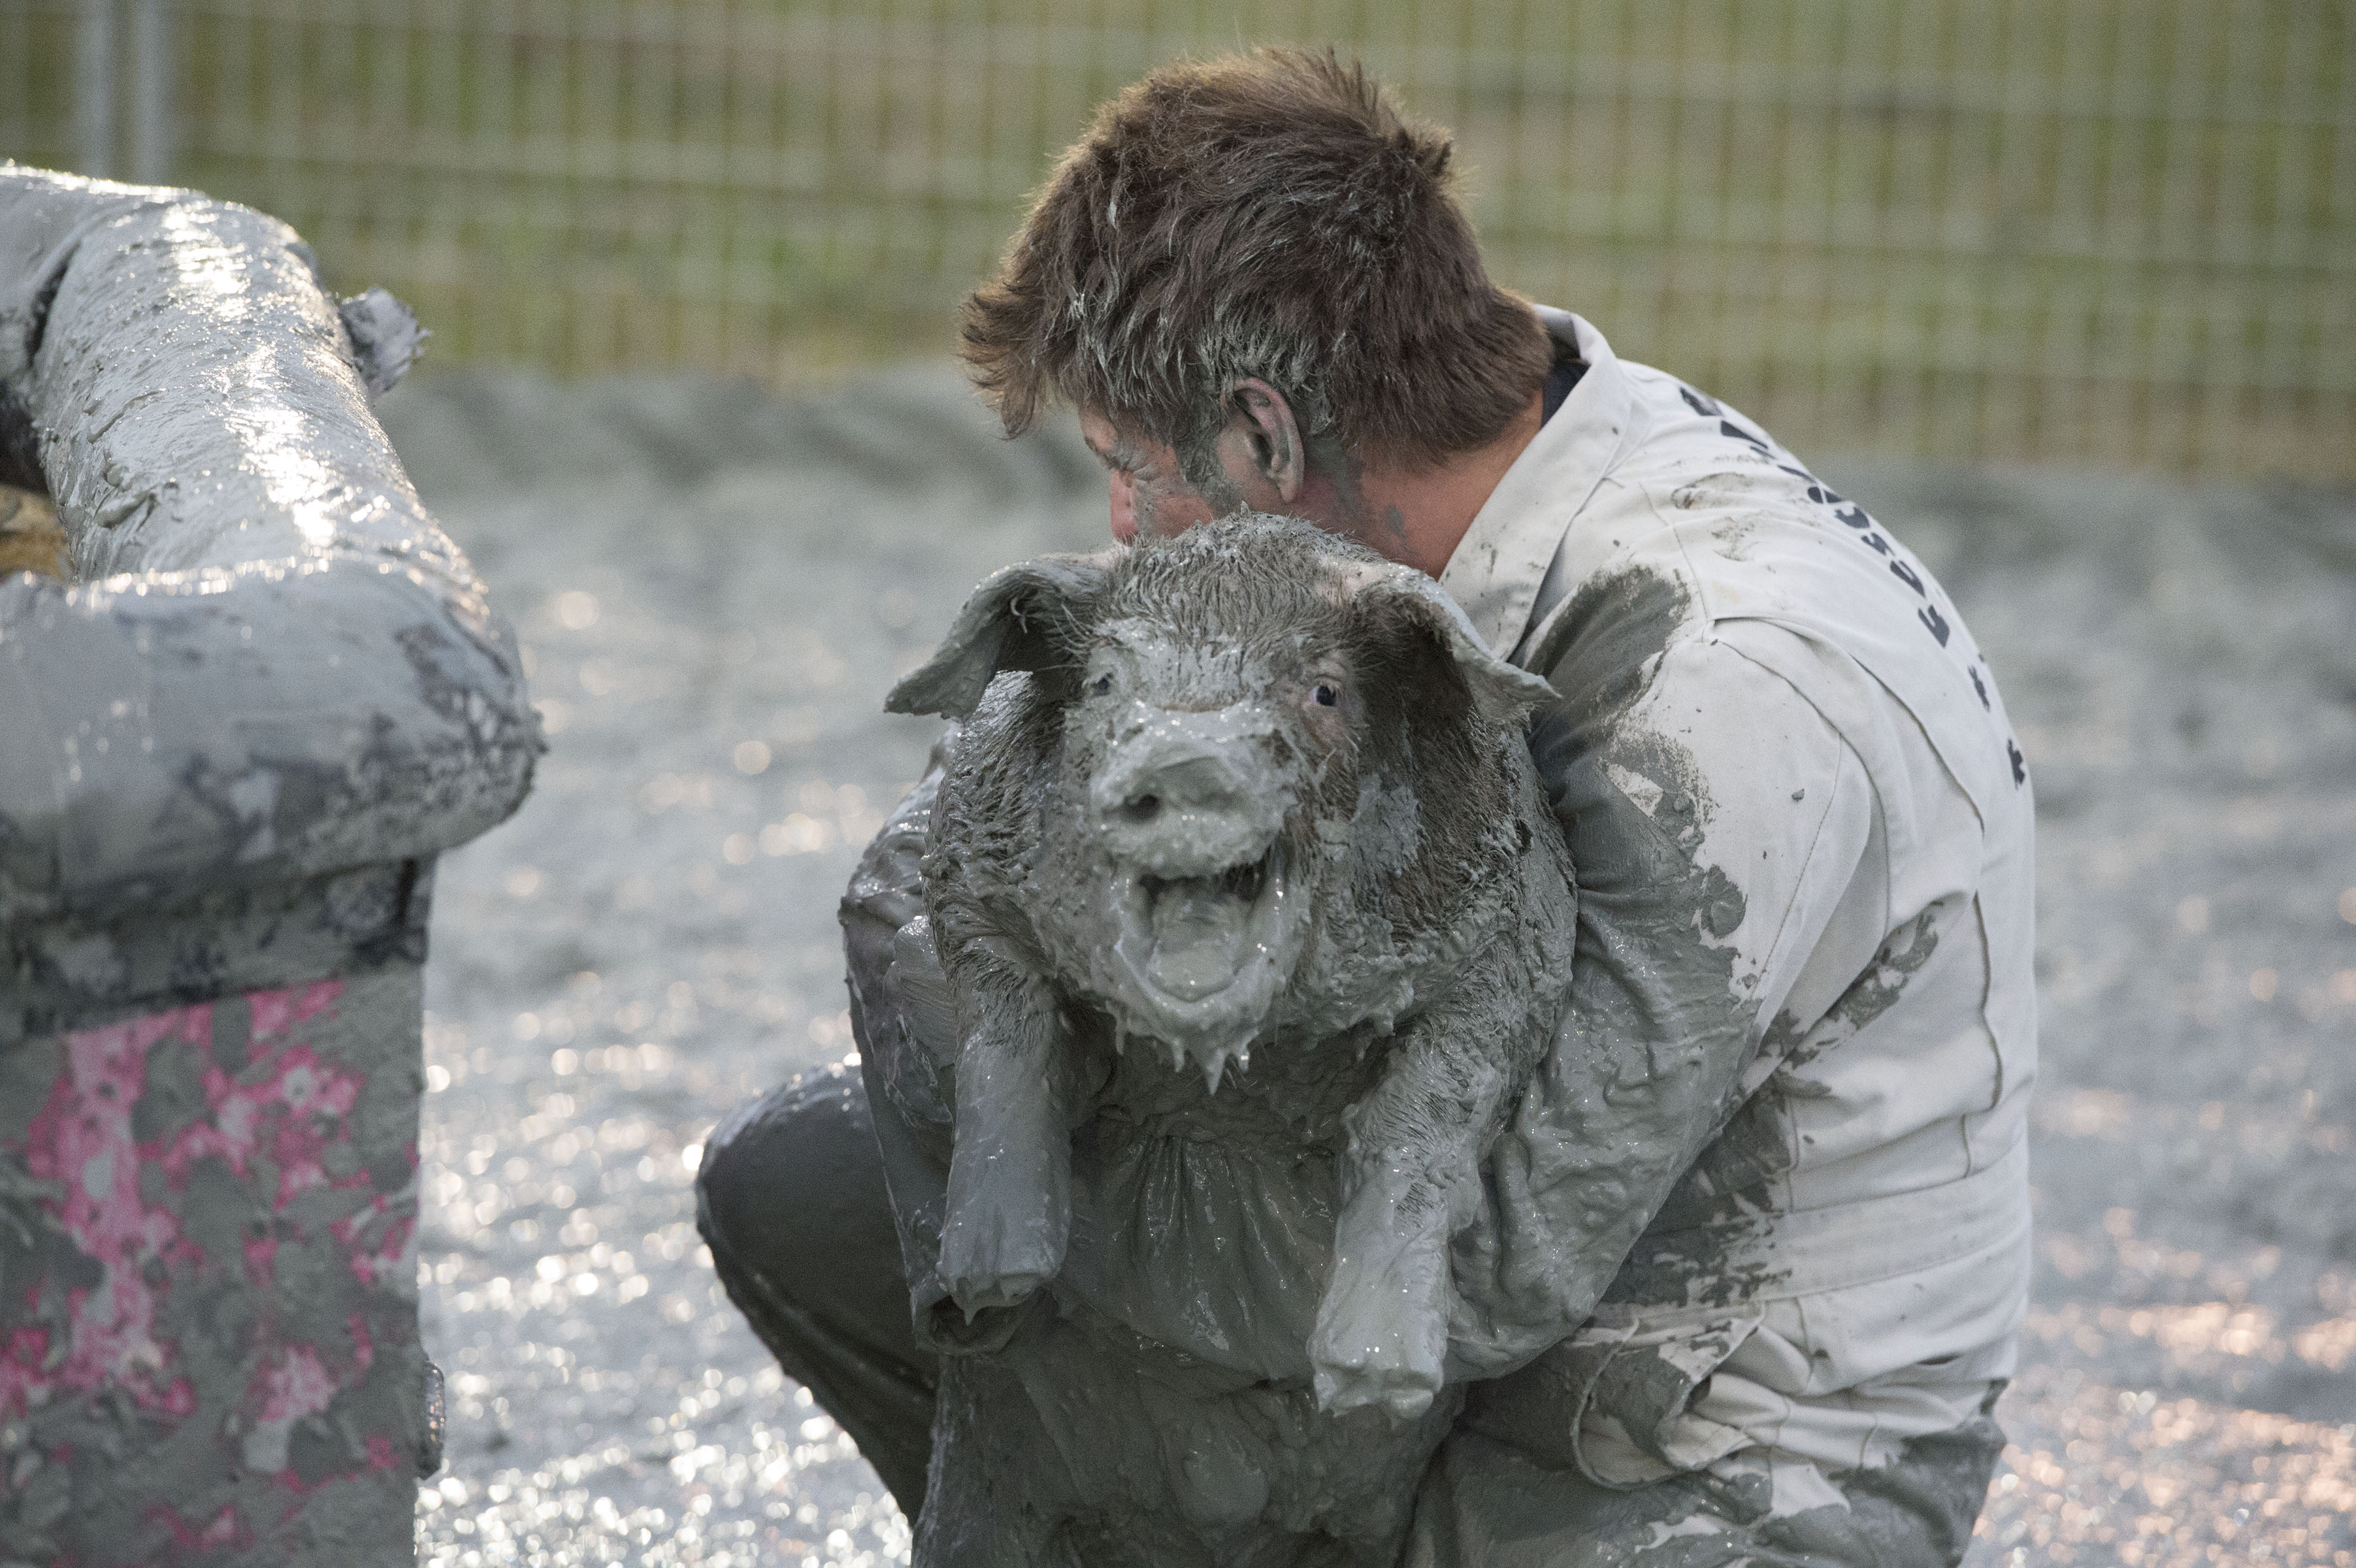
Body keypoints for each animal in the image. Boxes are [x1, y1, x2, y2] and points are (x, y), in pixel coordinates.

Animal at [882, 514, 1580, 1566]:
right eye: (1104, 683)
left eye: (1324, 690)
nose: (1185, 760)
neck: (1230, 1079)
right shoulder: (964, 869)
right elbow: (1005, 1045)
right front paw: (989, 1281)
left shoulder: (1523, 940)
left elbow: (1422, 1120)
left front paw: (1373, 1383)